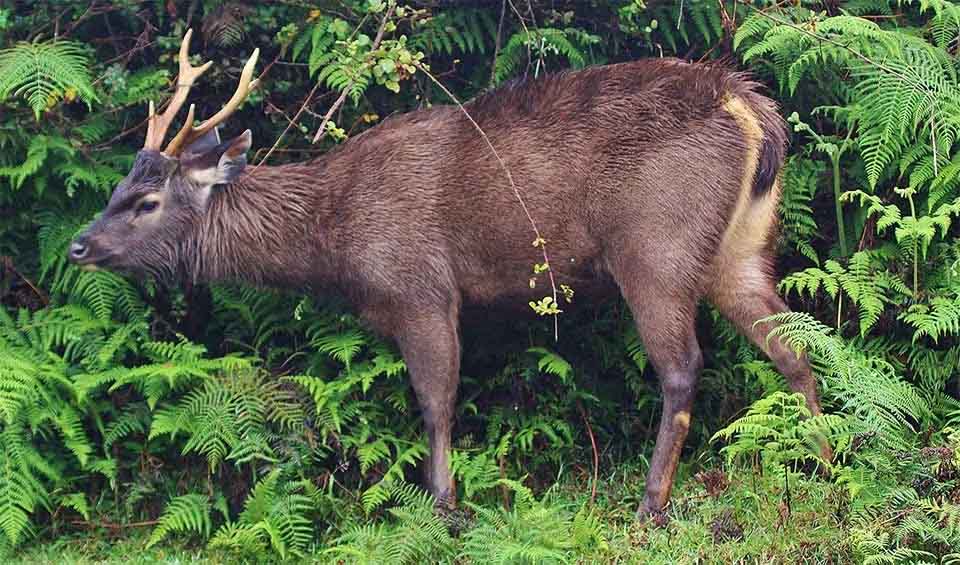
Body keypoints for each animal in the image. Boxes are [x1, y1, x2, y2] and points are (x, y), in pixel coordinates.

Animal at [68, 30, 826, 517]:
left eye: (146, 201)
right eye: (119, 187)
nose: (78, 246)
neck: (334, 240)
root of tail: (752, 109)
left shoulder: (419, 286)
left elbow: (436, 400)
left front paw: (443, 506)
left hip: (655, 244)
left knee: (682, 366)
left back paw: (652, 503)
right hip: (739, 248)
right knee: (795, 346)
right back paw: (825, 458)